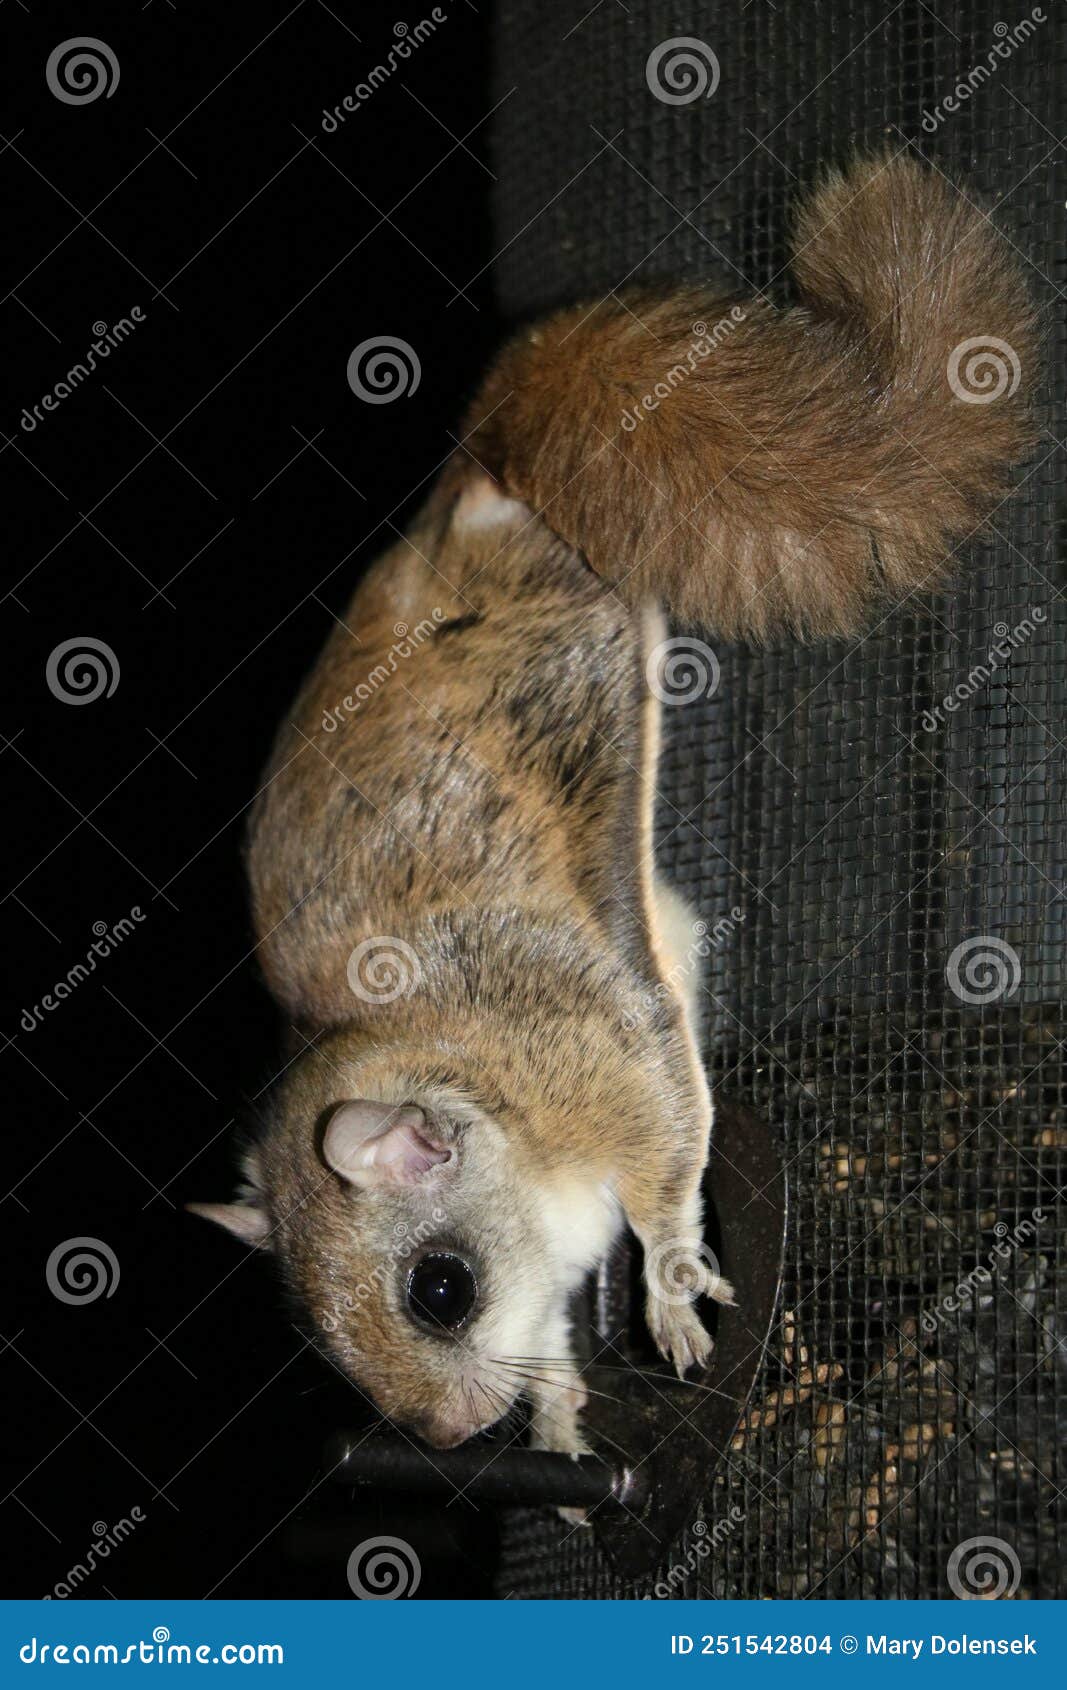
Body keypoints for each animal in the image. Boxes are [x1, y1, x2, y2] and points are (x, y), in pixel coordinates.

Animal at [190, 157, 1035, 1457]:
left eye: (439, 1287)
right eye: (320, 1346)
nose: (447, 1439)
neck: (466, 1063)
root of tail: (468, 489)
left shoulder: (605, 1063)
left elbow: (665, 1173)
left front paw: (672, 1297)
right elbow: (549, 1341)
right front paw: (557, 1423)